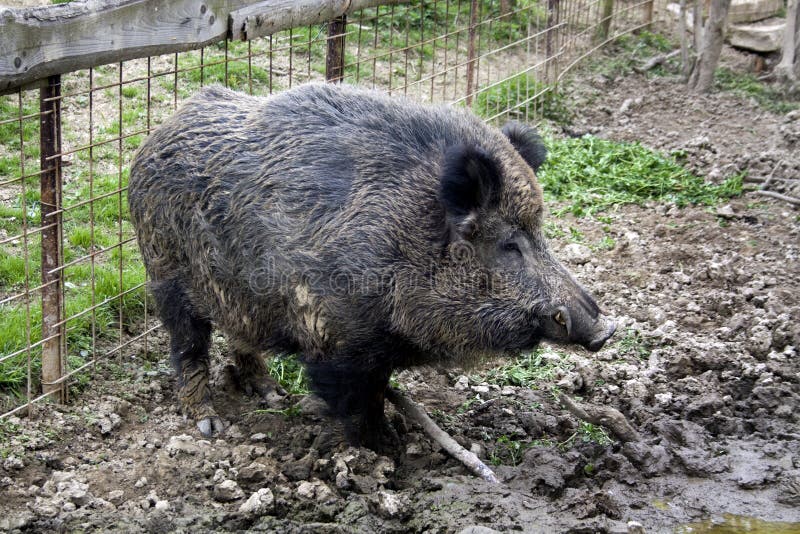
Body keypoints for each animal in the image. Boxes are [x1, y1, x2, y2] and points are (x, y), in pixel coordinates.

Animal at [128, 83, 615, 446]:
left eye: (541, 234)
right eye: (509, 244)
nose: (605, 328)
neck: (403, 245)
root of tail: (155, 136)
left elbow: (378, 389)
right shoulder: (338, 341)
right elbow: (358, 402)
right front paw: (388, 448)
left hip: (236, 291)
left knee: (241, 333)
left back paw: (272, 394)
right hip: (164, 272)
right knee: (188, 345)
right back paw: (208, 424)